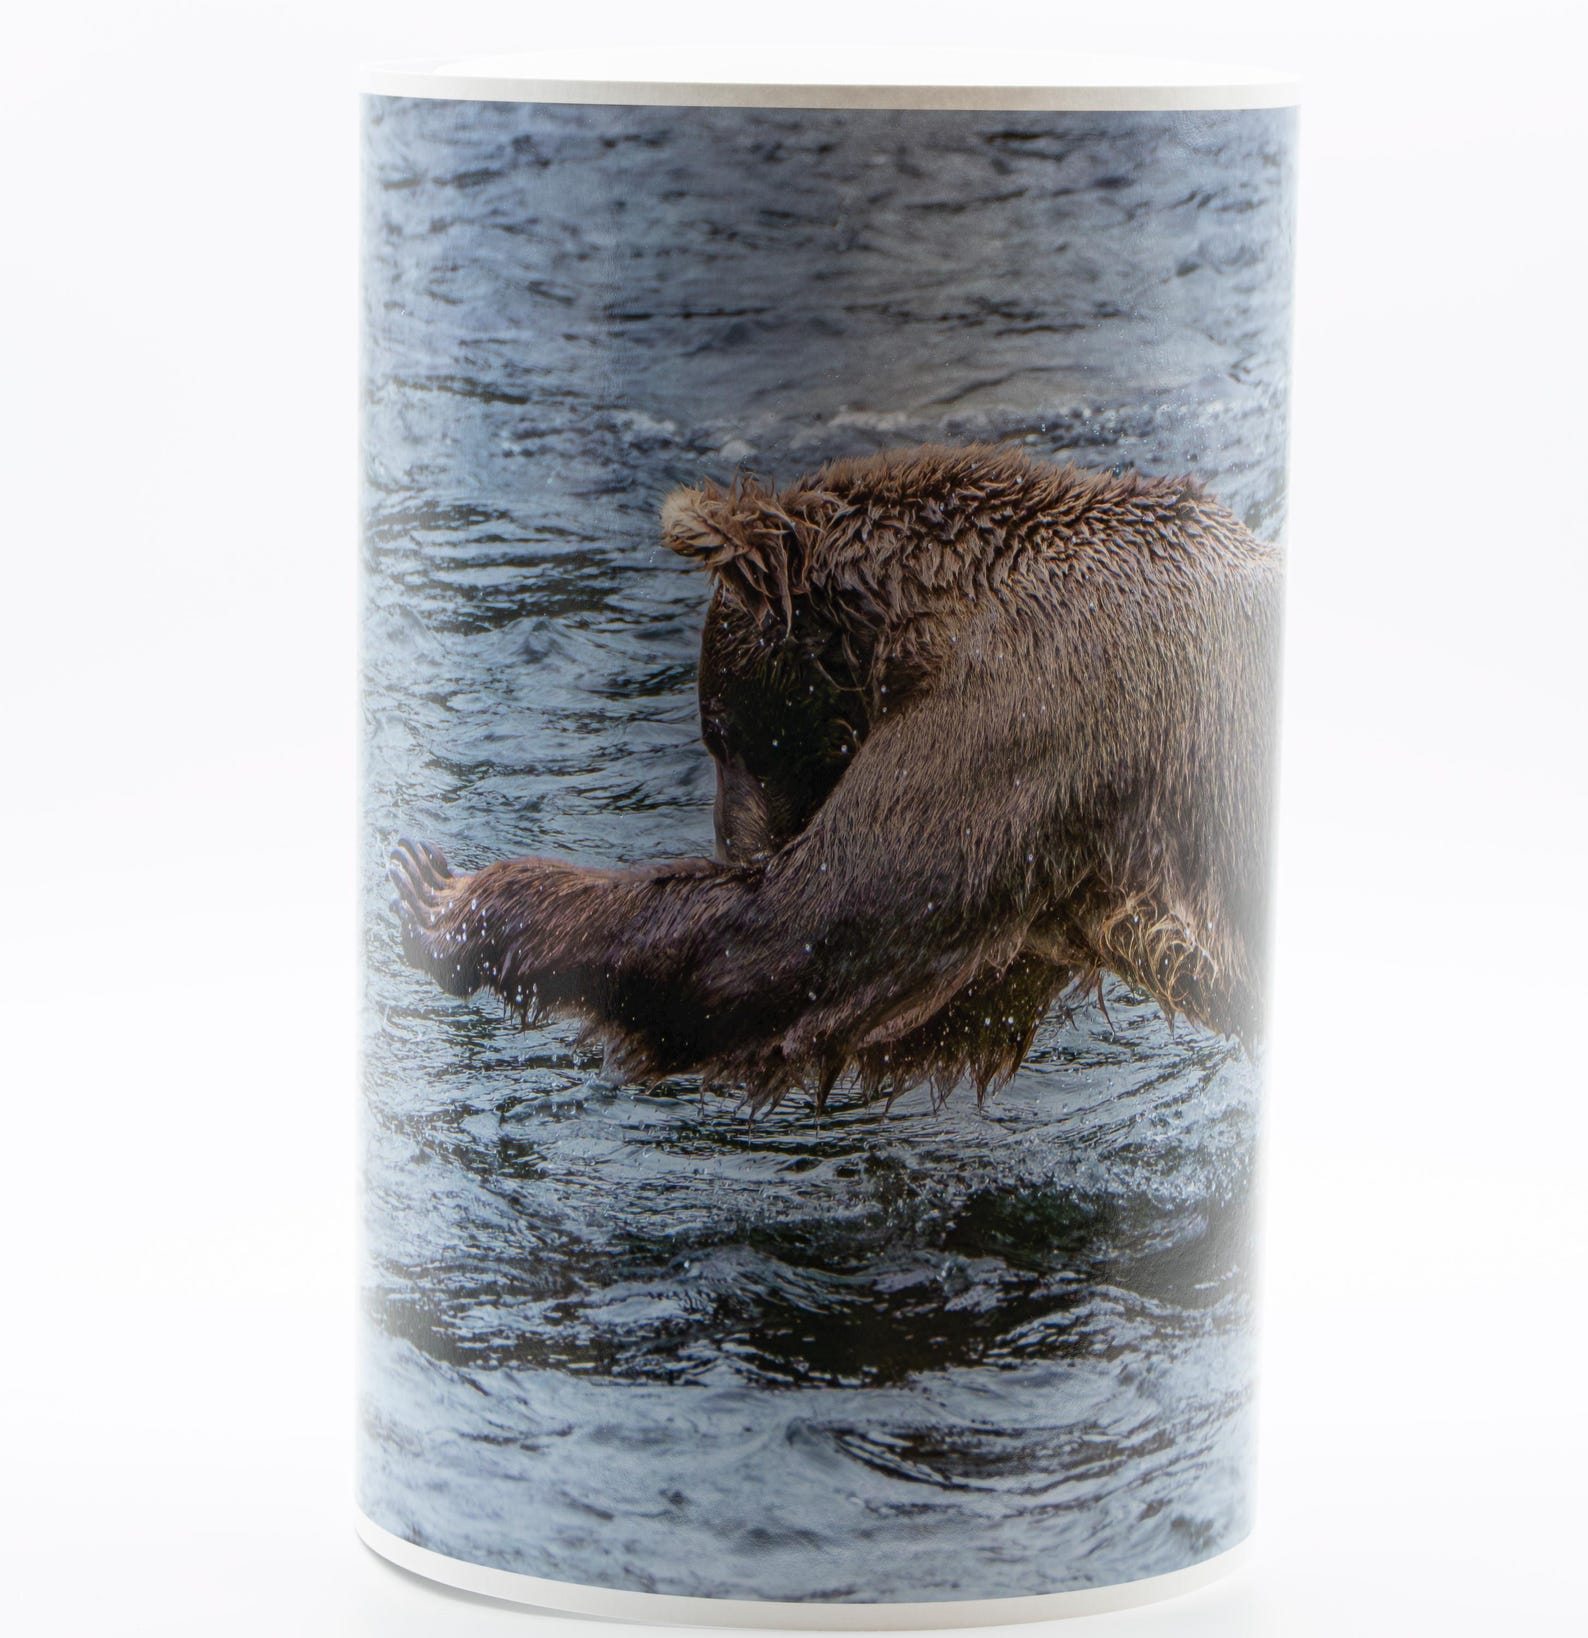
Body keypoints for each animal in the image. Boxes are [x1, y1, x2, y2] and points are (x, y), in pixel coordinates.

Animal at [390, 442, 1282, 1109]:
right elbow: (929, 1012)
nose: (736, 844)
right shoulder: (1051, 883)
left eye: (721, 734)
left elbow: (787, 944)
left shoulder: (1020, 729)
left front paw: (443, 895)